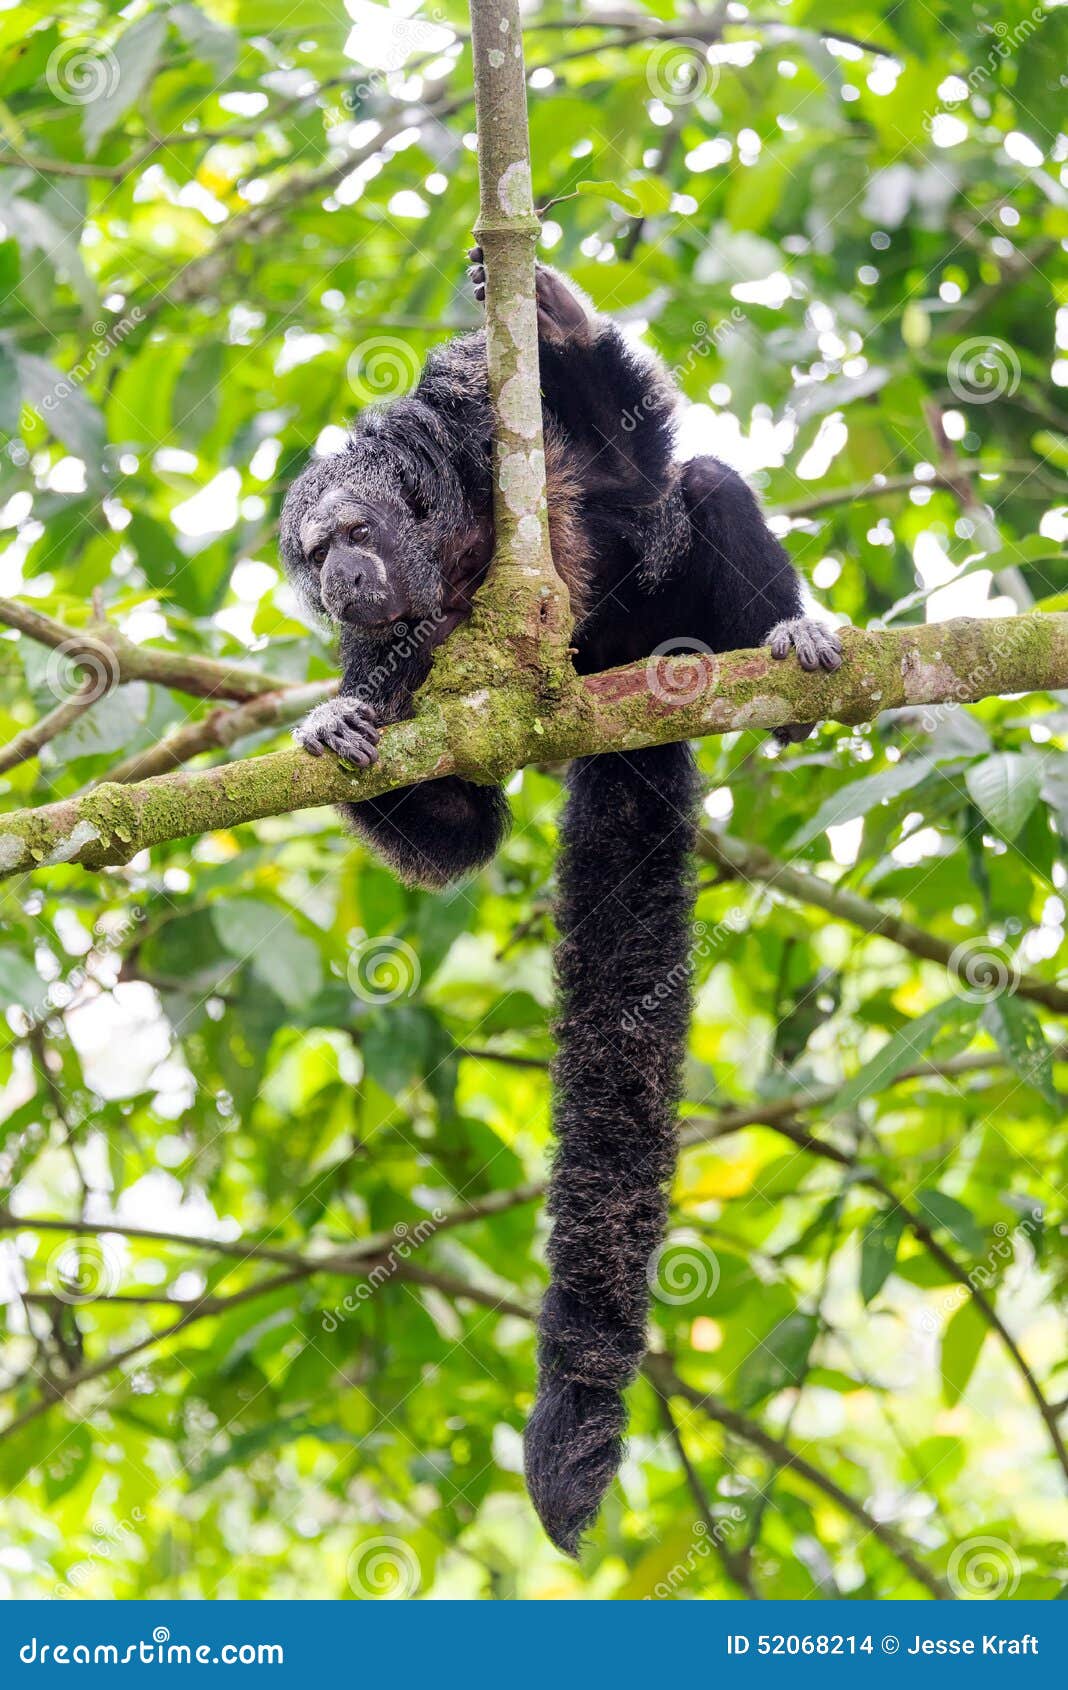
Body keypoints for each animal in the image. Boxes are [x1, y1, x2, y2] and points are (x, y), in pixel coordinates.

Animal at [278, 255, 841, 1557]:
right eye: (310, 554)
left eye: (351, 535)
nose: (336, 577)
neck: (459, 550)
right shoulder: (403, 660)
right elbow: (459, 826)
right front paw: (334, 726)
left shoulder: (478, 431)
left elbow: (631, 434)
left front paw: (554, 311)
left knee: (703, 489)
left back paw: (782, 640)